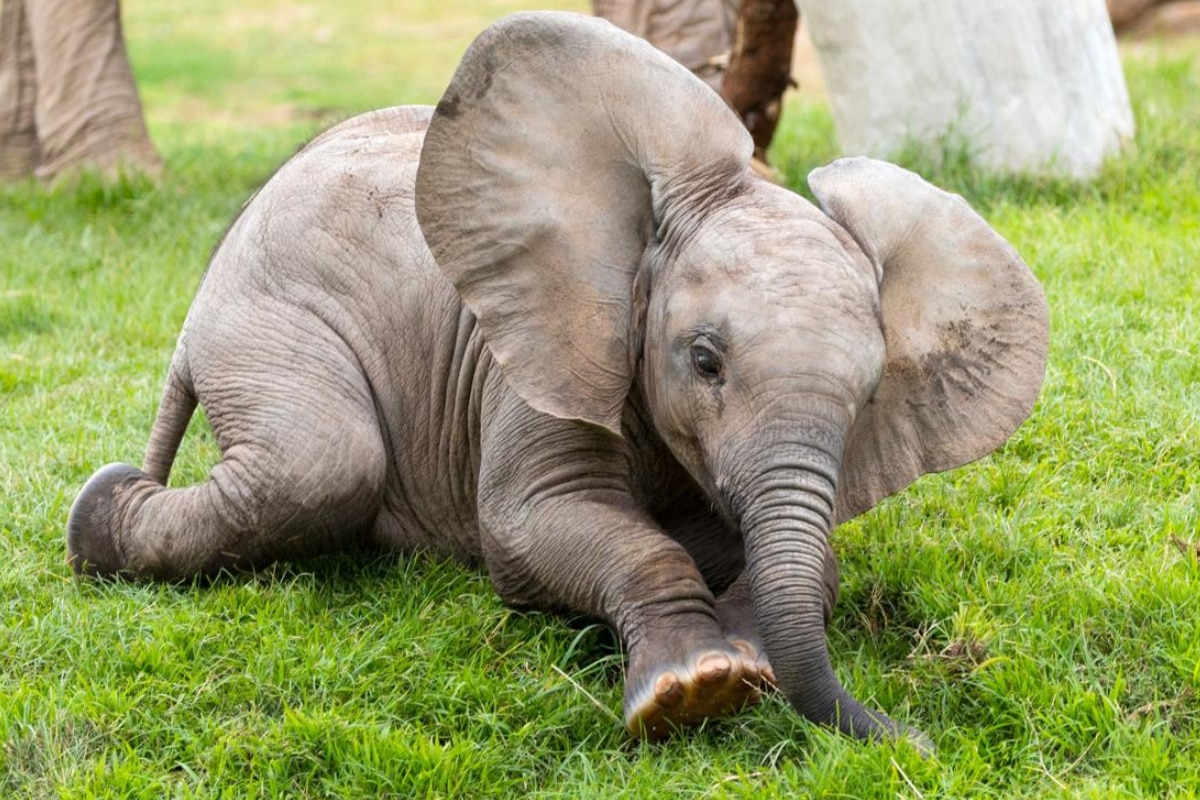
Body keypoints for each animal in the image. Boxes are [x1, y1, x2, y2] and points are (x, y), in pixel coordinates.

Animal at [67, 12, 1049, 748]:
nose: (918, 741)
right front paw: (695, 690)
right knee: (320, 465)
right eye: (704, 360)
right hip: (263, 317)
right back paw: (97, 518)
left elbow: (801, 553)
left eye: (868, 397)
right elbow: (537, 523)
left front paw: (744, 656)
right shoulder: (538, 357)